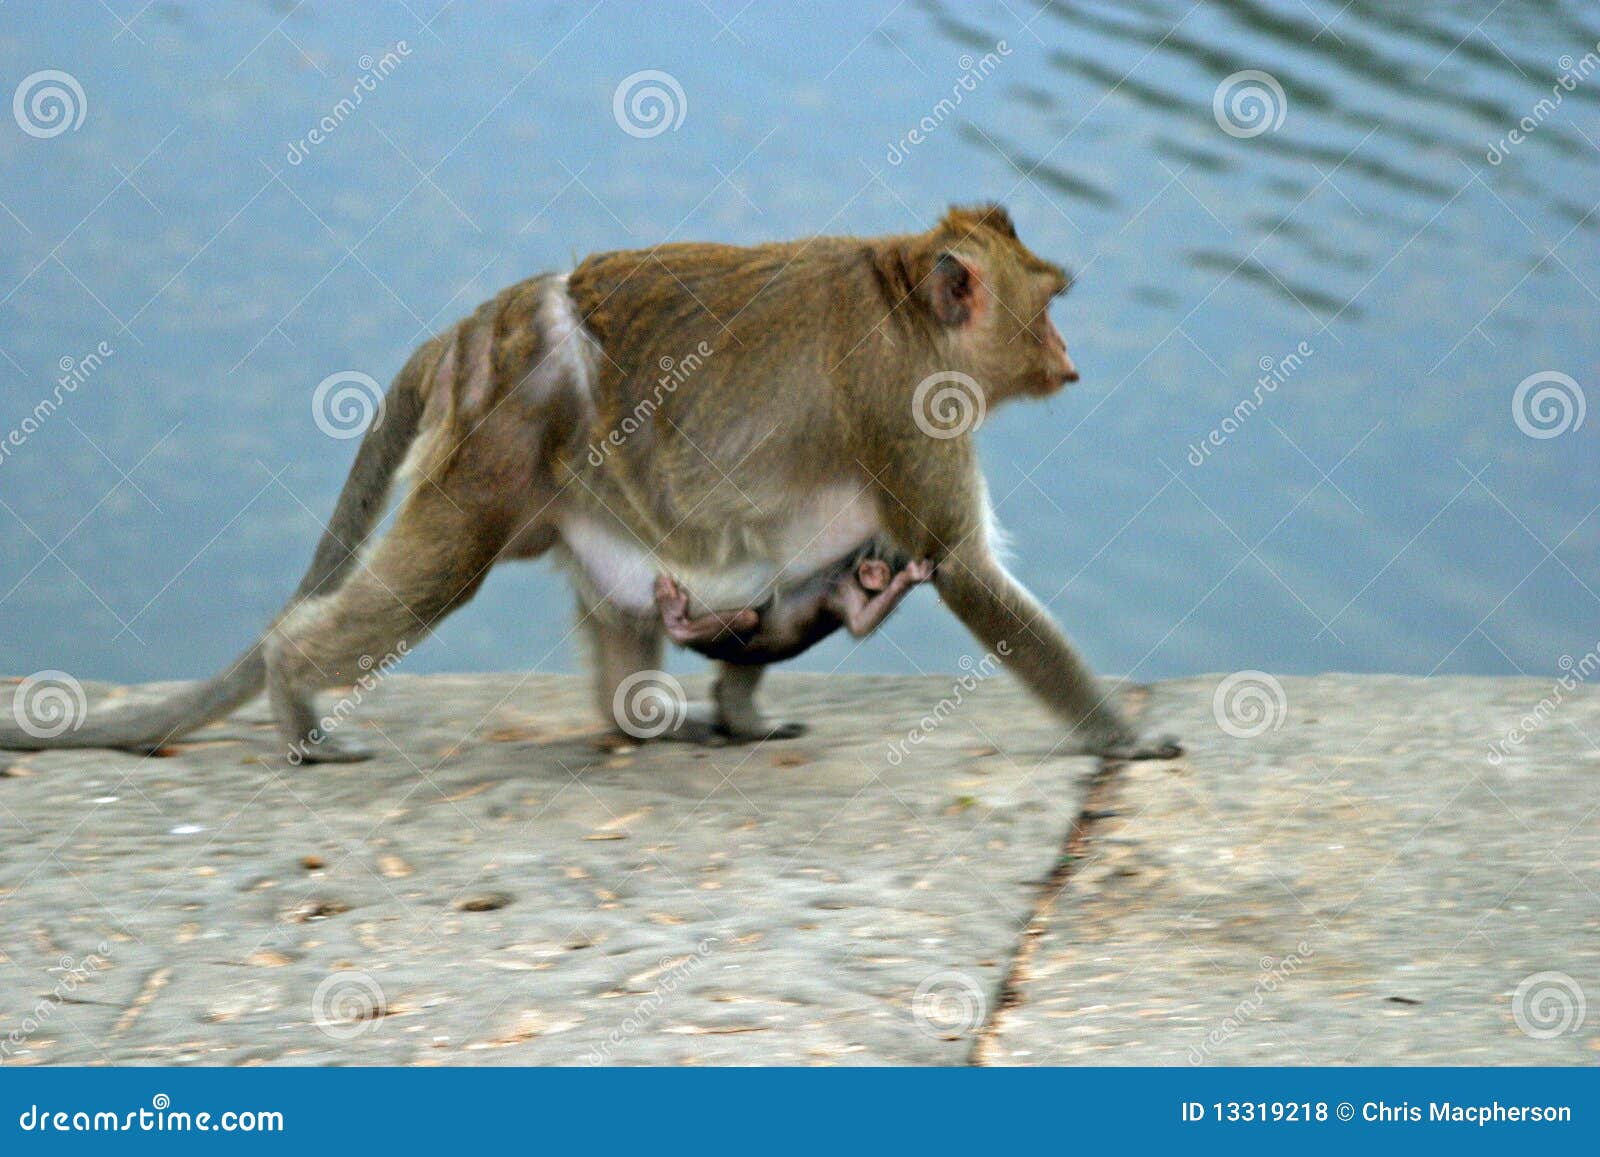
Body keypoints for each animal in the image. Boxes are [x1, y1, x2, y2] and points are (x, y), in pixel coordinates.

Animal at [0, 203, 1180, 763]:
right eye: (1047, 307)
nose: (1069, 354)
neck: (907, 309)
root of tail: (472, 330)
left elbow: (824, 564)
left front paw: (743, 710)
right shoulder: (914, 409)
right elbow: (967, 570)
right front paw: (1118, 737)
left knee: (630, 600)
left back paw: (644, 714)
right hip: (501, 447)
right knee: (437, 575)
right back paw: (298, 698)